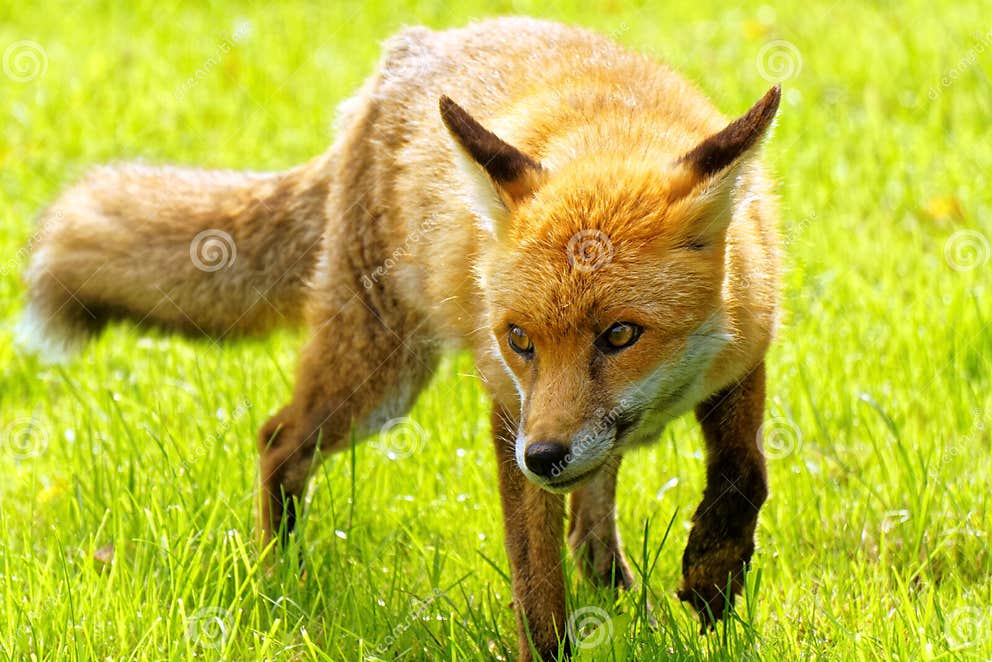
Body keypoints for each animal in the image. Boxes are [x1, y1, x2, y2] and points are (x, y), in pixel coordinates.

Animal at [20, 17, 781, 661]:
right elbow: (536, 586)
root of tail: (401, 57)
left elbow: (745, 472)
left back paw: (625, 599)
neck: (605, 138)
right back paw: (281, 581)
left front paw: (713, 573)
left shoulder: (745, 354)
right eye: (519, 339)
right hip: (380, 379)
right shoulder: (510, 407)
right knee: (276, 441)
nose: (543, 458)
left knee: (590, 522)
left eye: (621, 334)